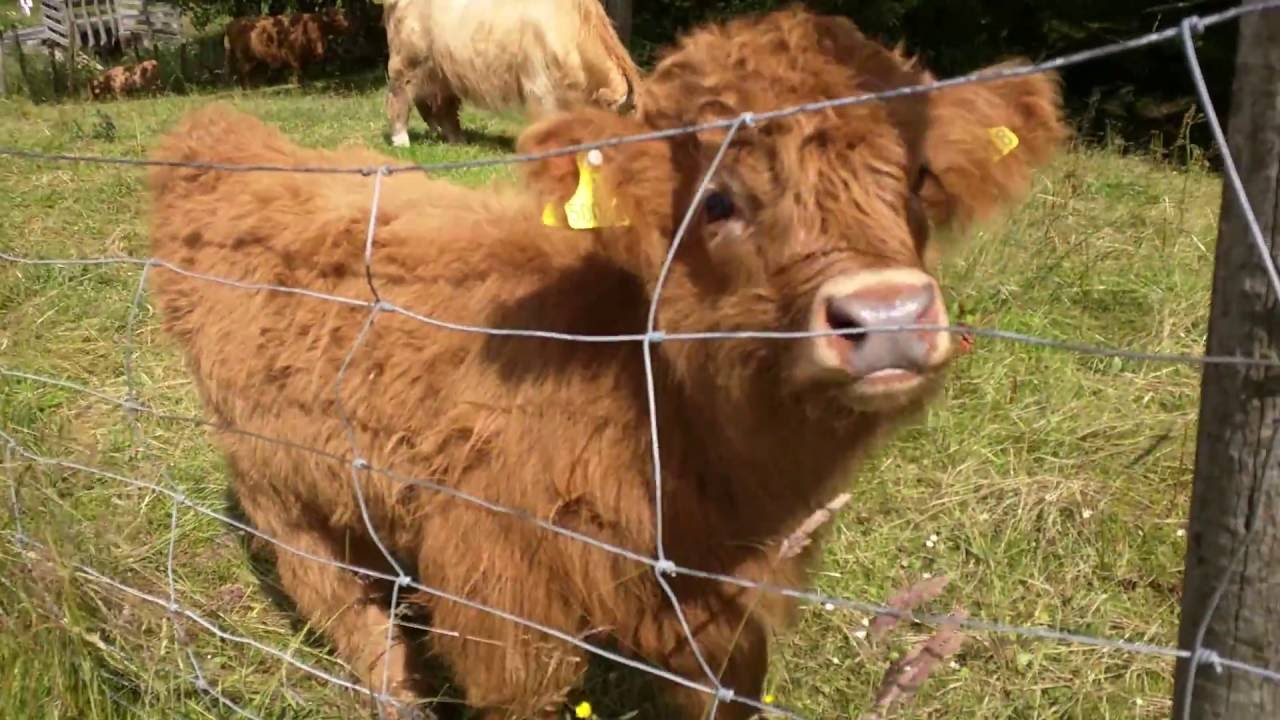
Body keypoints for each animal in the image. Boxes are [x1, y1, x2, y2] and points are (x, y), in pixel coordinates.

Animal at [223, 8, 351, 89]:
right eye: (335, 19)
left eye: (342, 16)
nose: (347, 26)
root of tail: (230, 25)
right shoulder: (294, 58)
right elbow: (297, 73)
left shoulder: (305, 61)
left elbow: (304, 74)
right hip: (246, 59)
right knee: (242, 72)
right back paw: (247, 90)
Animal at [382, 0, 642, 147]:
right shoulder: (539, 88)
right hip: (406, 61)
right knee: (400, 95)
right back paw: (401, 139)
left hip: (441, 70)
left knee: (441, 105)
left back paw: (456, 139)